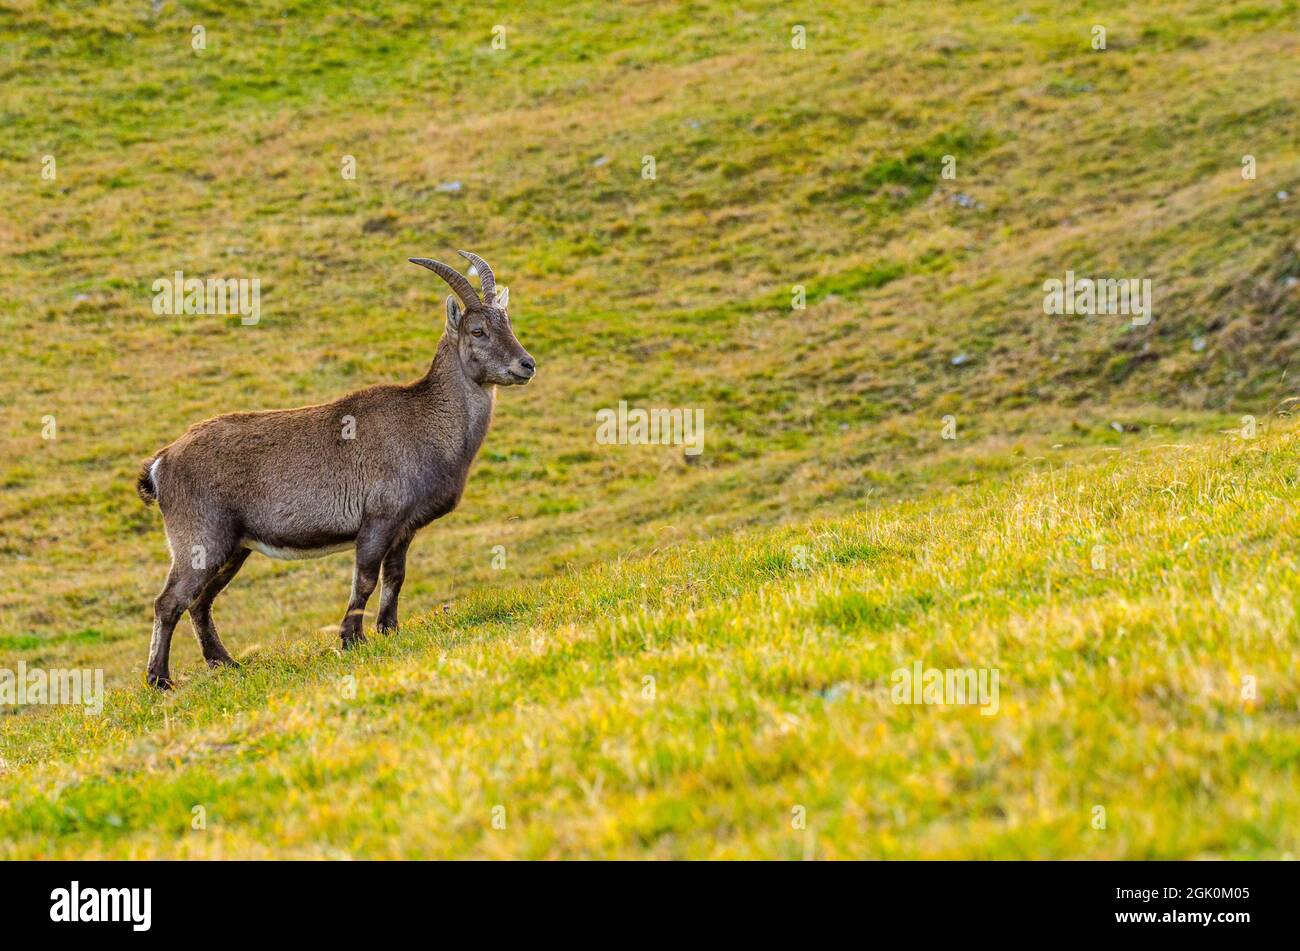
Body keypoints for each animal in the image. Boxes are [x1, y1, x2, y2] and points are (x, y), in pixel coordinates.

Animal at [135, 251, 535, 688]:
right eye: (478, 330)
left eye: (508, 323)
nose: (526, 364)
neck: (426, 421)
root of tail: (161, 463)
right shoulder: (378, 518)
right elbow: (365, 578)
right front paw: (351, 639)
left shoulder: (405, 527)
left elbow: (395, 577)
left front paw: (389, 630)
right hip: (200, 540)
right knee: (169, 601)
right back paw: (160, 680)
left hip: (234, 548)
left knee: (199, 602)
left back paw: (224, 662)